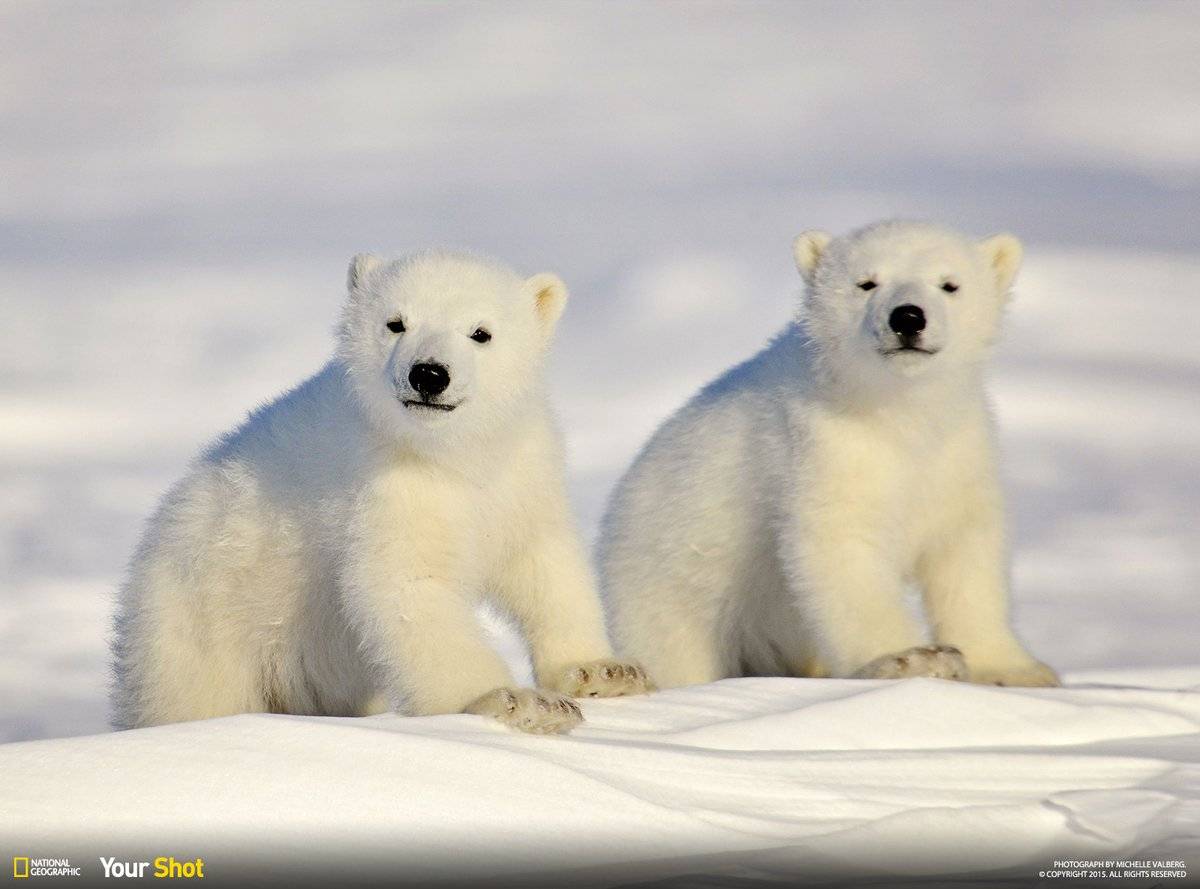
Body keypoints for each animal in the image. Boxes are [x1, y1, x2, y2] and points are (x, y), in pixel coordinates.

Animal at [111, 250, 652, 734]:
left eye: (481, 332)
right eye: (396, 323)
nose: (429, 373)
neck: (452, 453)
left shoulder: (523, 475)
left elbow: (546, 565)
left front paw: (603, 672)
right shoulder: (388, 491)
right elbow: (408, 585)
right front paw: (516, 701)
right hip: (206, 624)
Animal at [597, 220, 1058, 689]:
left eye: (950, 284)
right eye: (866, 282)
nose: (908, 317)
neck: (897, 410)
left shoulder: (959, 452)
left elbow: (966, 552)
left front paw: (1013, 670)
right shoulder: (823, 446)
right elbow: (840, 546)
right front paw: (909, 659)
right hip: (672, 591)